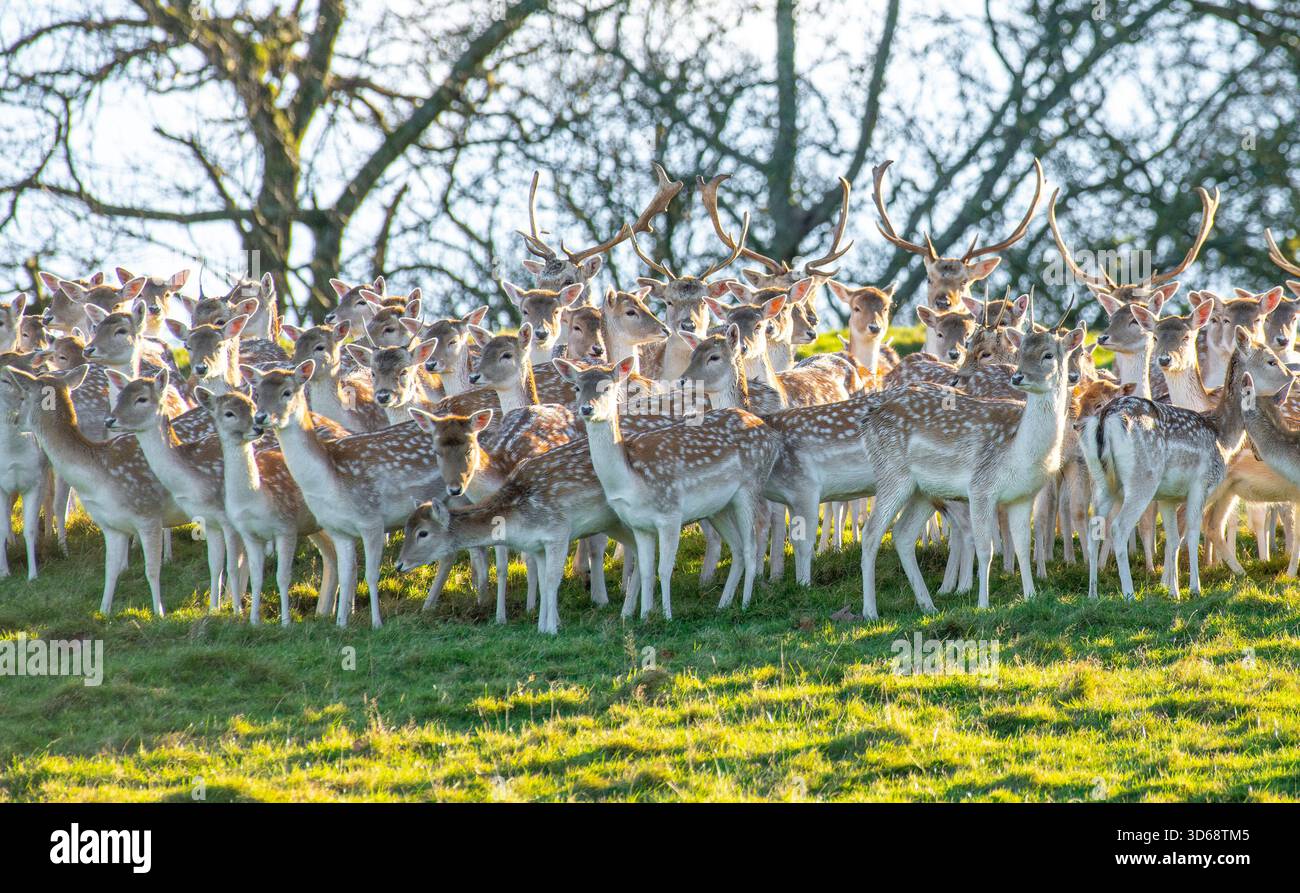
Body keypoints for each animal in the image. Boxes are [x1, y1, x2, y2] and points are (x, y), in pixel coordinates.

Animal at [248, 361, 446, 628]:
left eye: (287, 392)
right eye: (257, 394)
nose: (260, 417)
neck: (330, 481)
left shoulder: (372, 520)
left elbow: (371, 574)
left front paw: (376, 623)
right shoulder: (338, 529)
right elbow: (346, 573)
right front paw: (341, 622)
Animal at [858, 313, 1085, 619]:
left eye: (1048, 354)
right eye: (1020, 352)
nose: (1018, 377)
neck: (1019, 452)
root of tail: (869, 421)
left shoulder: (1023, 496)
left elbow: (1023, 546)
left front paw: (1031, 596)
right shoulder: (980, 487)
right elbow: (985, 548)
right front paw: (982, 603)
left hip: (922, 491)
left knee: (903, 534)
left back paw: (928, 604)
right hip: (892, 476)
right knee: (871, 534)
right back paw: (870, 611)